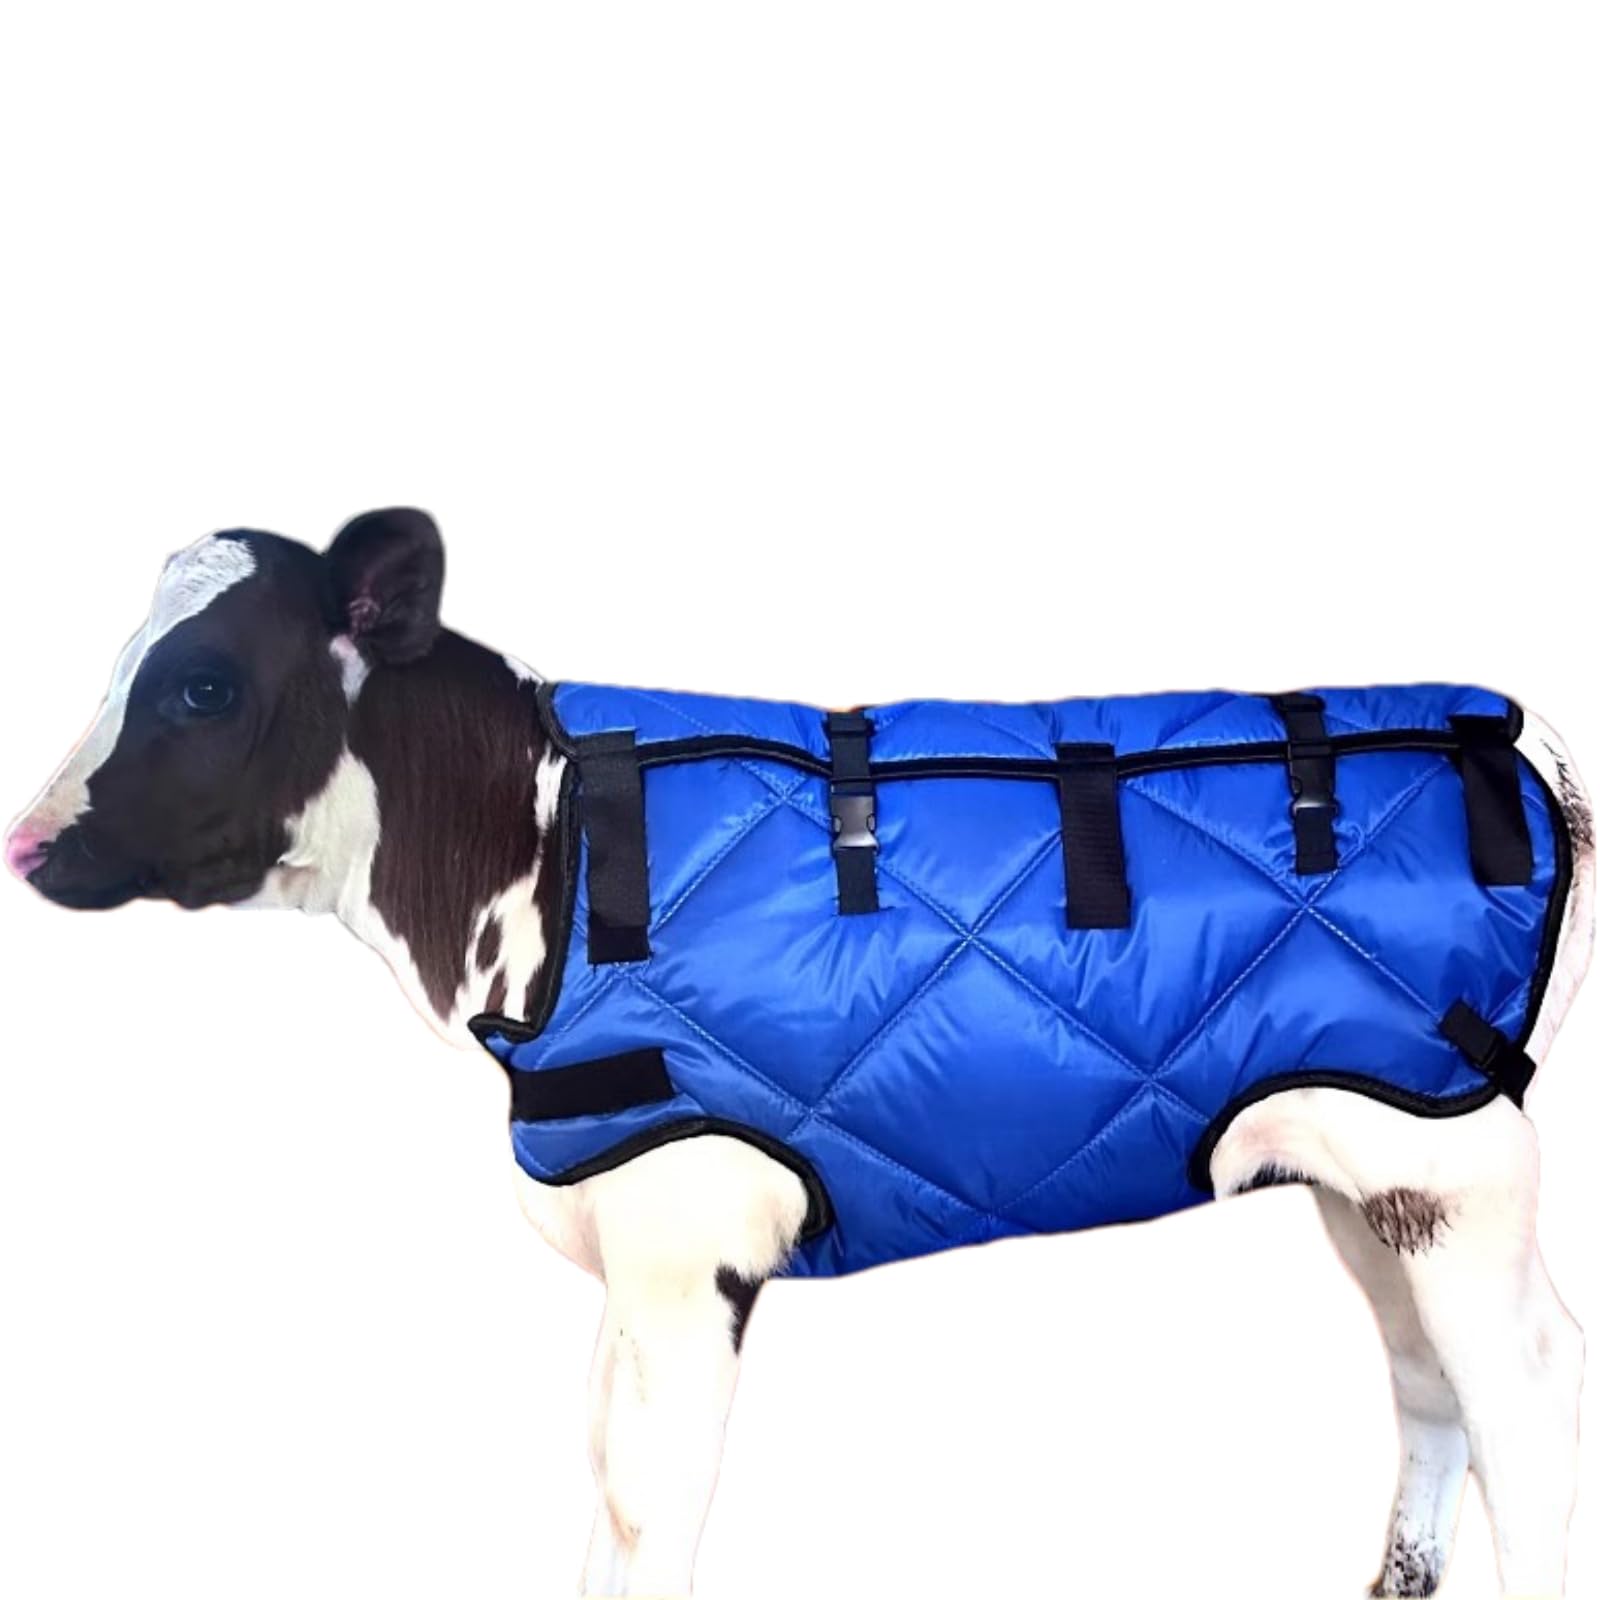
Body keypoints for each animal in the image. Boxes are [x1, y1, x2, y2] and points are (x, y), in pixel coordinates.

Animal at [6, 509, 1594, 1598]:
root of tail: (1511, 731)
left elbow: (650, 1519)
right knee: (1425, 1379)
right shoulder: (628, 1253)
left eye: (203, 686)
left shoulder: (689, 1245)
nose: (28, 840)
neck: (544, 855)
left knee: (1528, 1390)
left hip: (1460, 1163)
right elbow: (604, 1500)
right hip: (1360, 1162)